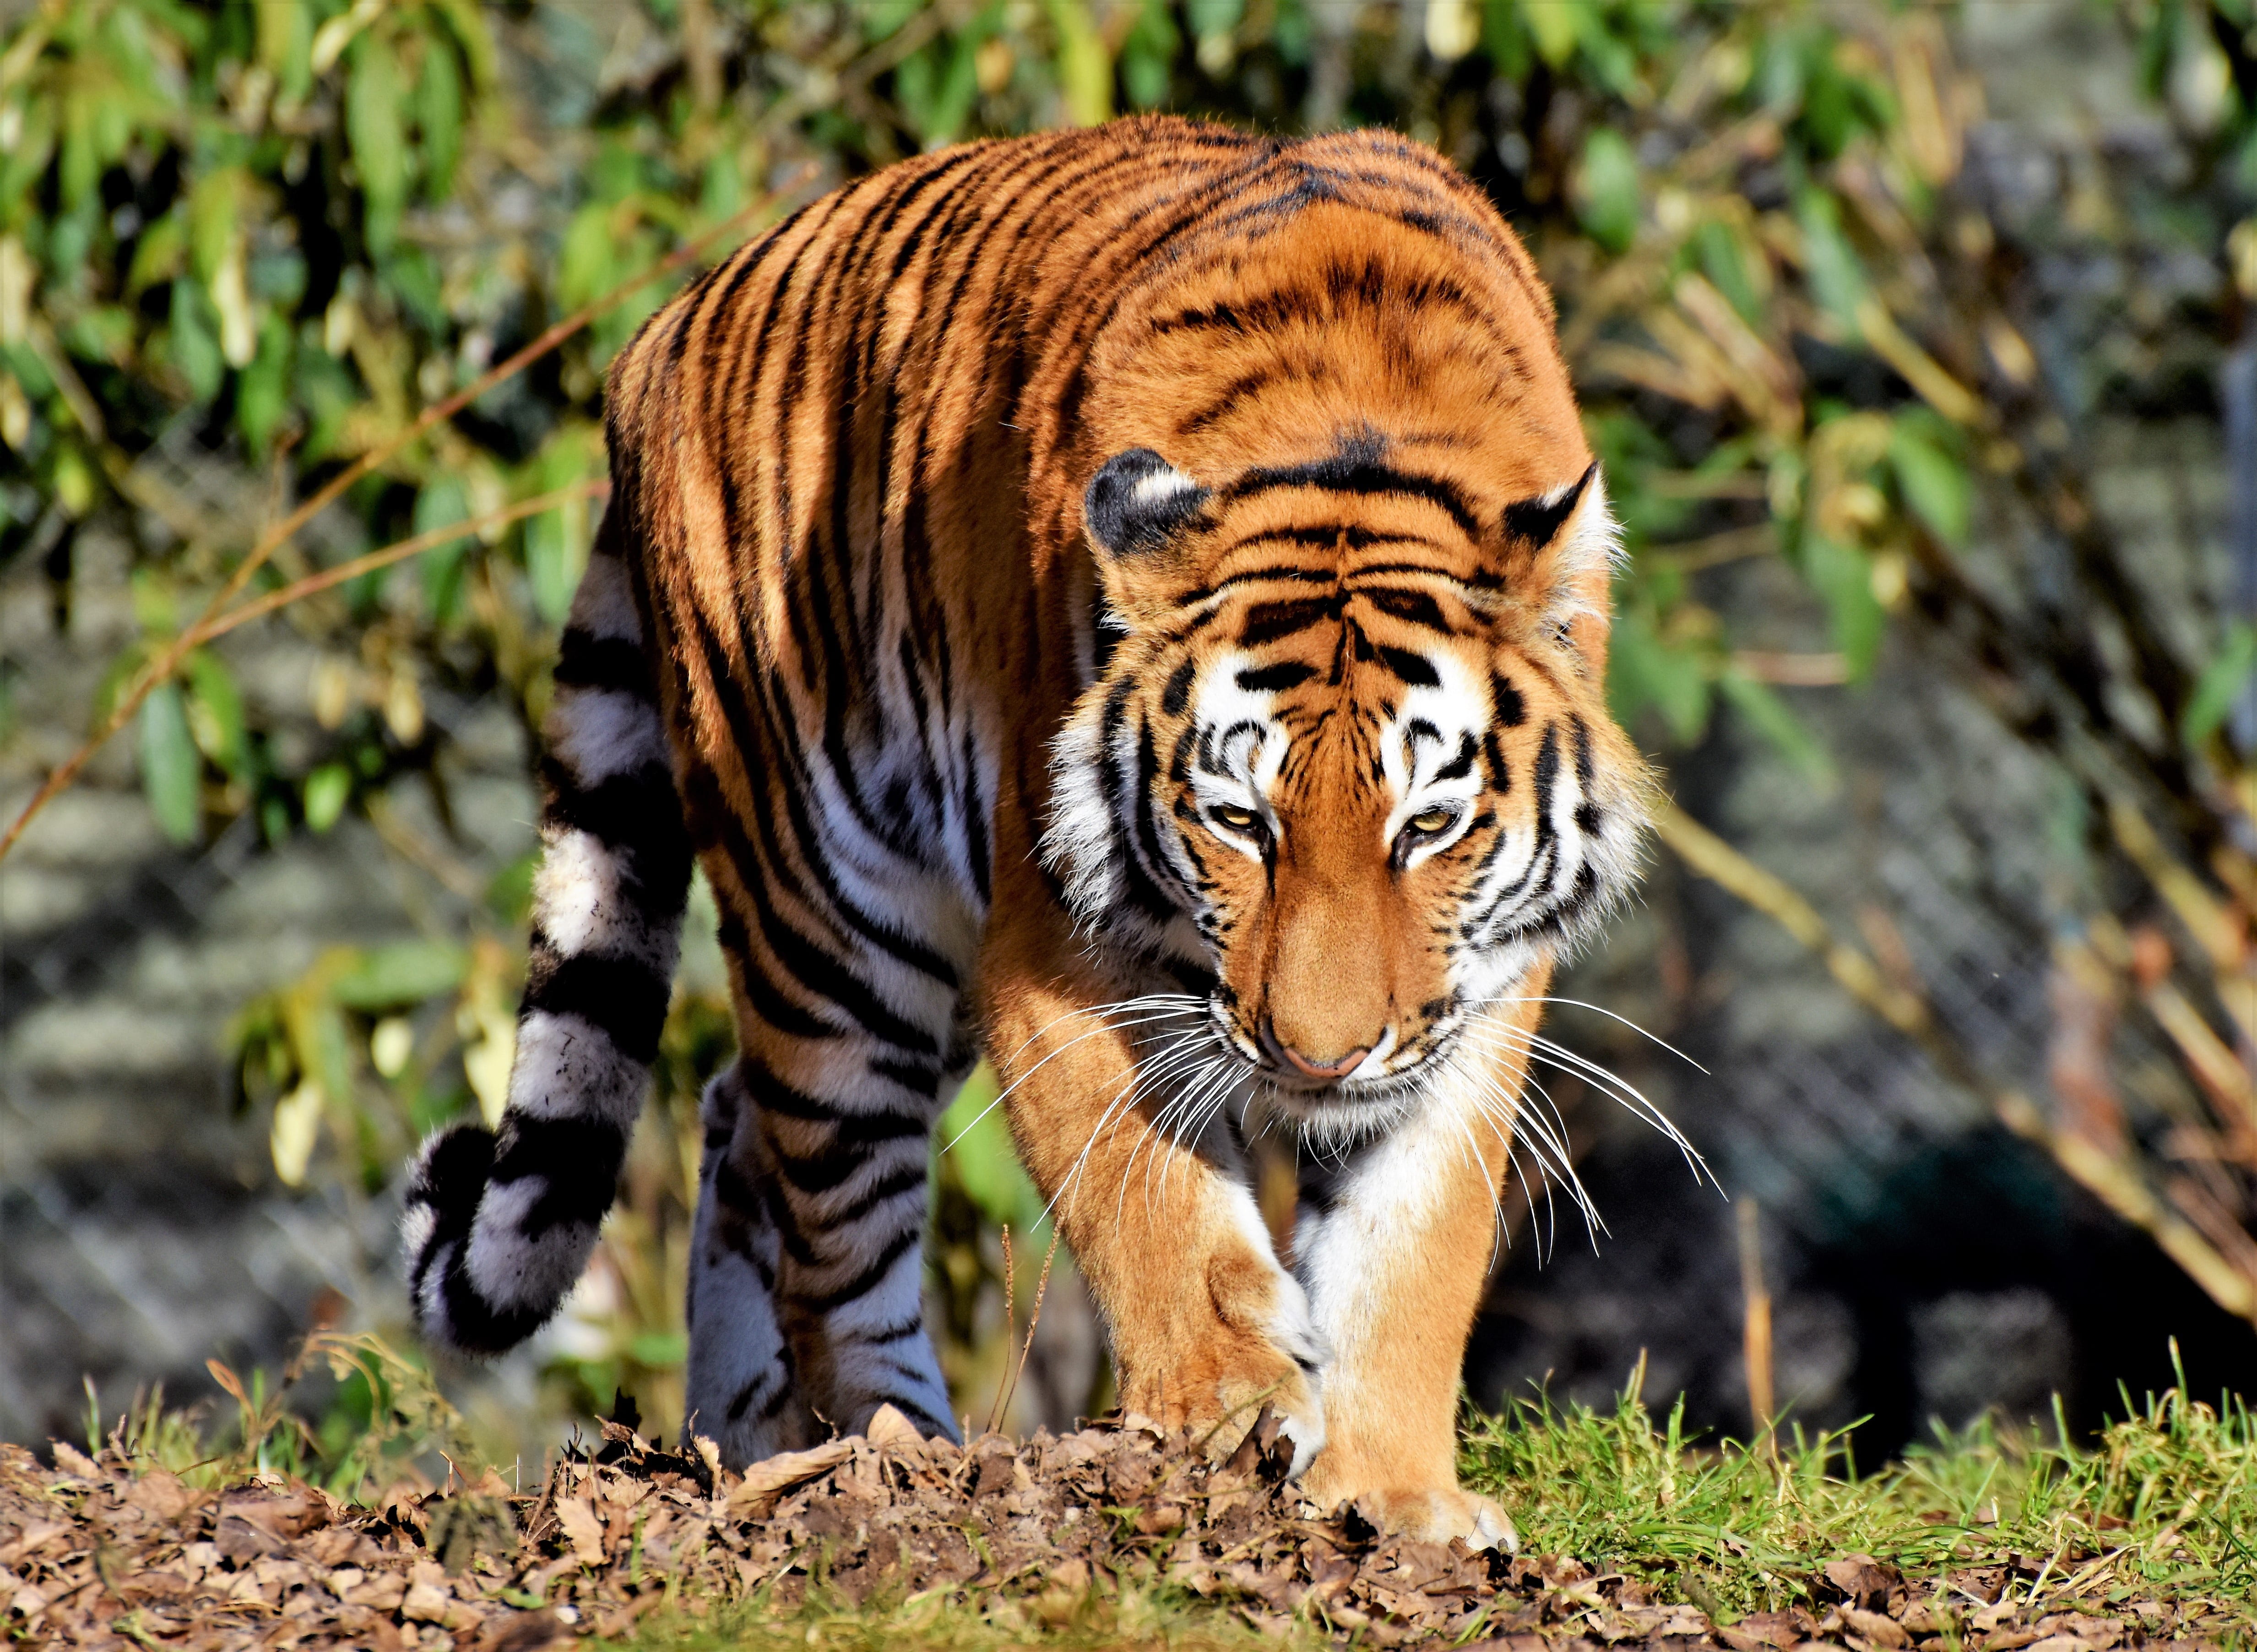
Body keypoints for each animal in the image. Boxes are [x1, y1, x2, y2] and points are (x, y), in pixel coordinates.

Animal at [400, 114, 1650, 1548]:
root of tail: (655, 333)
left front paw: (1397, 1499)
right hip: (834, 917)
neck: (1352, 430)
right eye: (1239, 821)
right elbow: (1153, 1204)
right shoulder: (1050, 941)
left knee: (737, 1122)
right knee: (830, 1210)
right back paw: (895, 1453)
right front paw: (1225, 1417)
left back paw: (746, 1438)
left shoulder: (1474, 992)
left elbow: (1413, 1245)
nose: (1316, 1060)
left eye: (1428, 825)